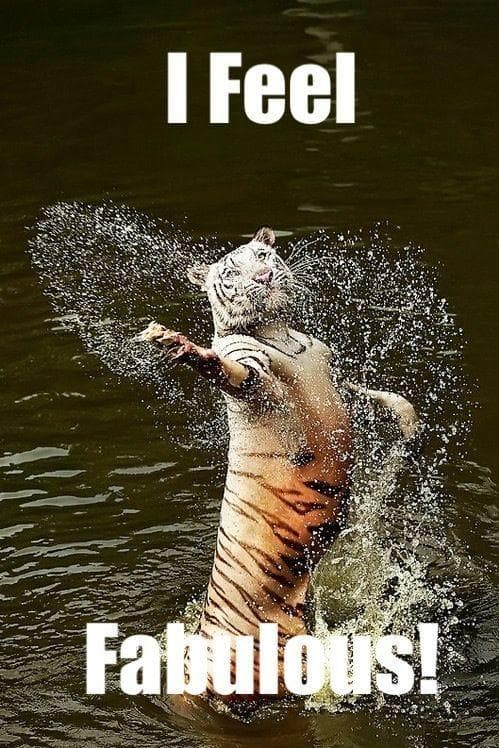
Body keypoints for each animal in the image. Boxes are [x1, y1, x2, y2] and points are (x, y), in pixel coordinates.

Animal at [140, 226, 417, 710]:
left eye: (264, 255)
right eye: (232, 271)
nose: (265, 276)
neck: (281, 336)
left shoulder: (332, 369)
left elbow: (379, 394)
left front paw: (407, 421)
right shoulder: (251, 377)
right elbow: (224, 366)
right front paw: (179, 345)